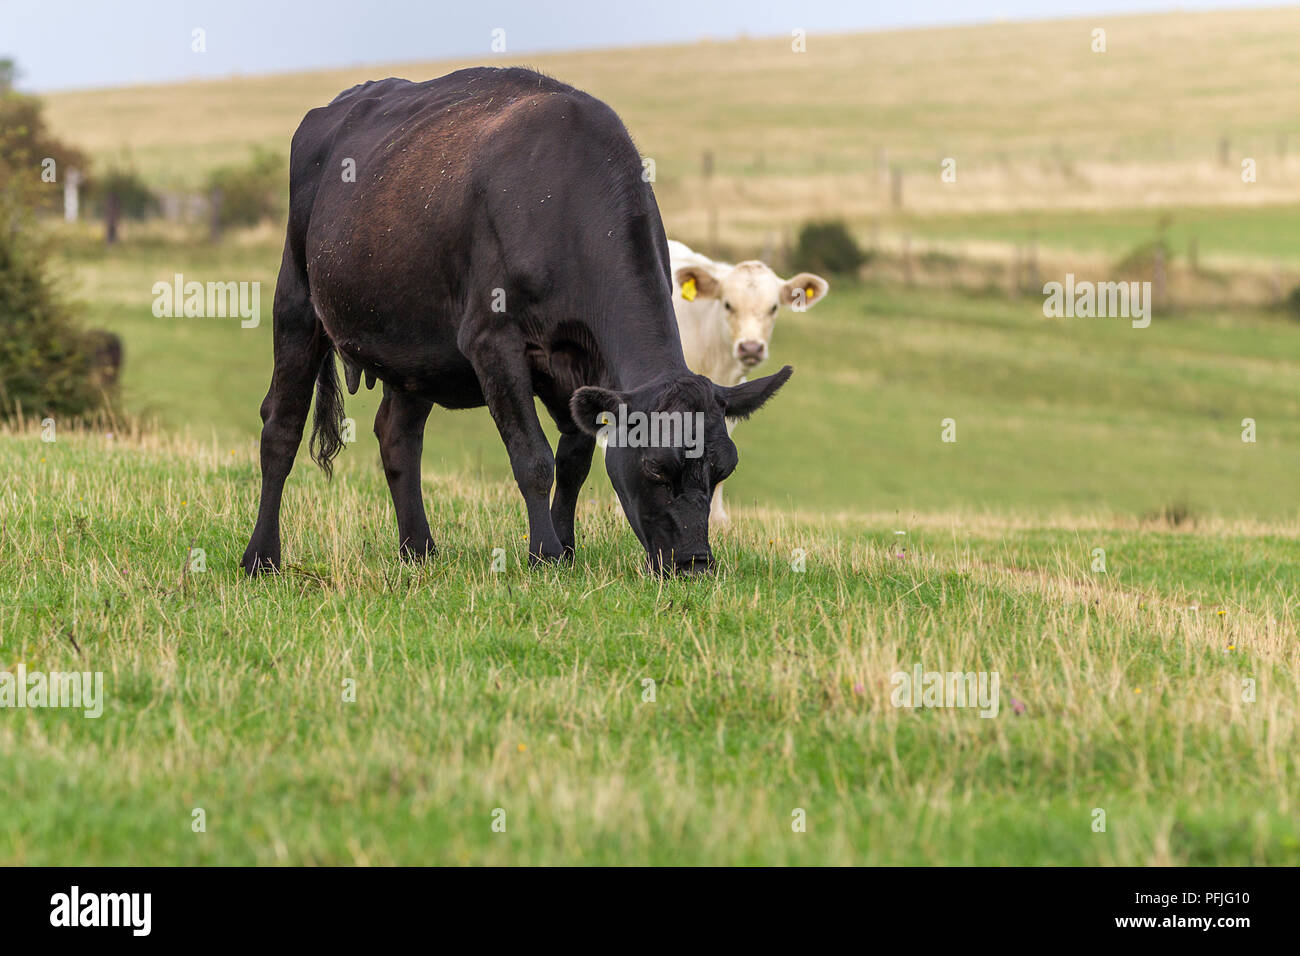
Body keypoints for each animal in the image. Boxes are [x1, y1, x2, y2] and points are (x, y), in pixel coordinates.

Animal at [240, 67, 793, 578]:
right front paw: (544, 554)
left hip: (414, 344)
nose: (695, 562)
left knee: (397, 437)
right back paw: (261, 557)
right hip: (297, 300)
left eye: (723, 469)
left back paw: (418, 550)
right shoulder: (493, 341)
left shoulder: (577, 367)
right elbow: (533, 457)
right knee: (280, 427)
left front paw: (566, 549)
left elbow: (574, 461)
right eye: (657, 469)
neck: (563, 201)